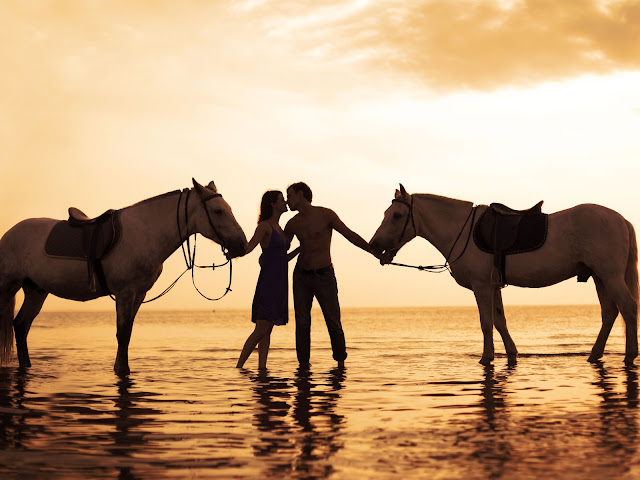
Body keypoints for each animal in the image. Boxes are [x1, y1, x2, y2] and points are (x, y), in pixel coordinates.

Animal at [0, 179, 248, 375]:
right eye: (217, 211)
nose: (242, 245)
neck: (146, 233)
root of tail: (9, 233)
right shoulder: (125, 293)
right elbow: (122, 333)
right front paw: (121, 370)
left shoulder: (138, 294)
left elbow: (127, 332)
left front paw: (122, 368)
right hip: (8, 286)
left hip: (36, 290)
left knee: (21, 325)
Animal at [369, 184, 639, 366]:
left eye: (397, 215)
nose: (373, 245)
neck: (461, 230)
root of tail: (622, 219)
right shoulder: (494, 286)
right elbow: (500, 320)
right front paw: (511, 353)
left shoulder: (481, 286)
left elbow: (486, 322)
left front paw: (486, 357)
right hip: (600, 277)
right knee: (609, 313)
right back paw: (594, 354)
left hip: (611, 276)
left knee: (627, 307)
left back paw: (629, 355)